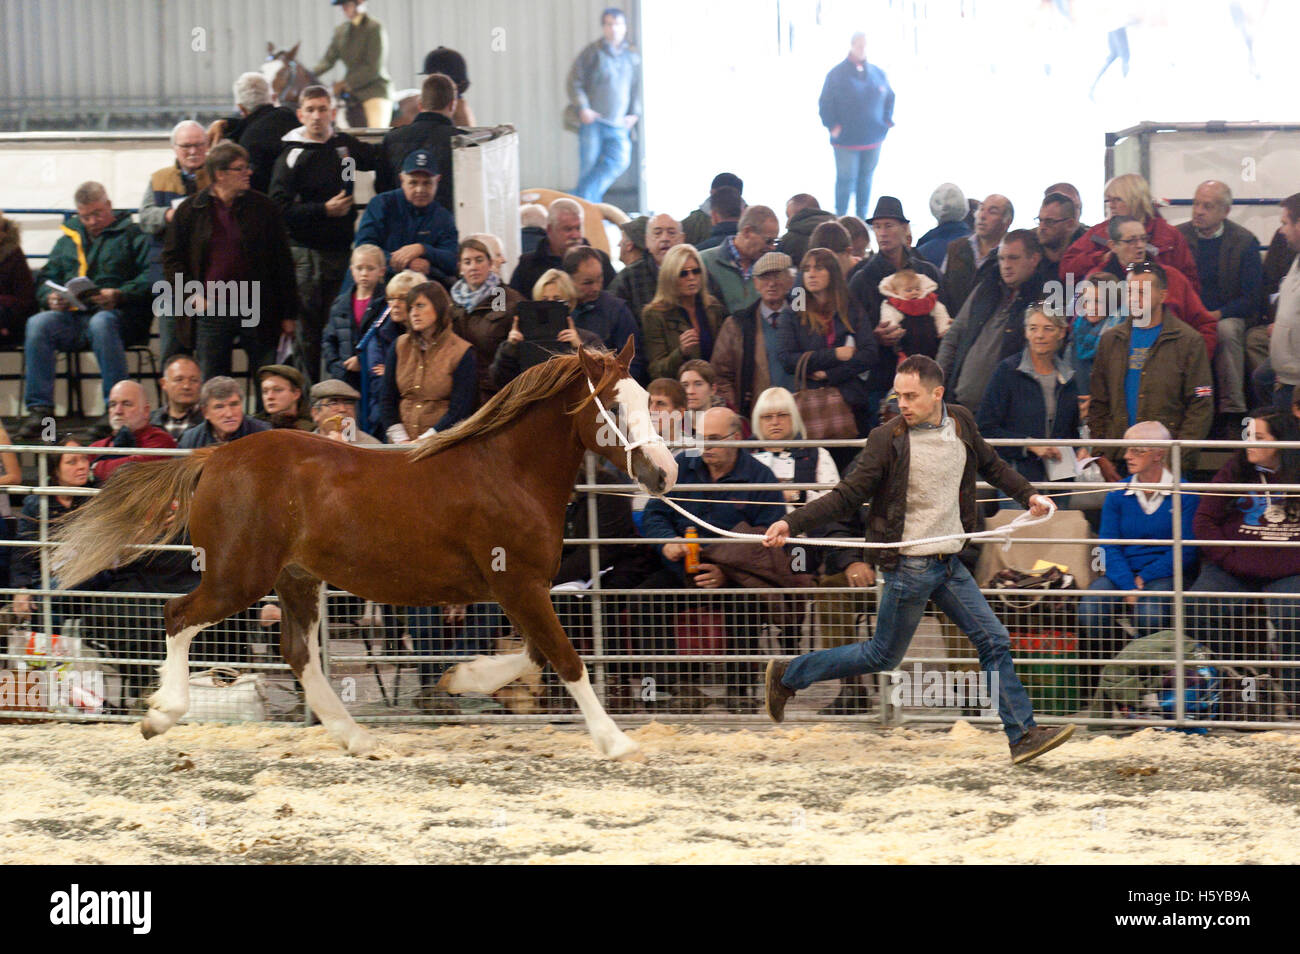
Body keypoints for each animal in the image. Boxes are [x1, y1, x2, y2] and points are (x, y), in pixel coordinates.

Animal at [51, 342, 677, 760]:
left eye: (649, 397)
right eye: (614, 406)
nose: (665, 474)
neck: (508, 471)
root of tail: (214, 456)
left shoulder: (521, 590)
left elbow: (536, 657)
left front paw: (459, 680)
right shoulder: (518, 585)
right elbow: (566, 660)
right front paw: (616, 742)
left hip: (296, 578)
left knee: (297, 653)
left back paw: (356, 736)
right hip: (238, 576)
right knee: (177, 615)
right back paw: (161, 715)